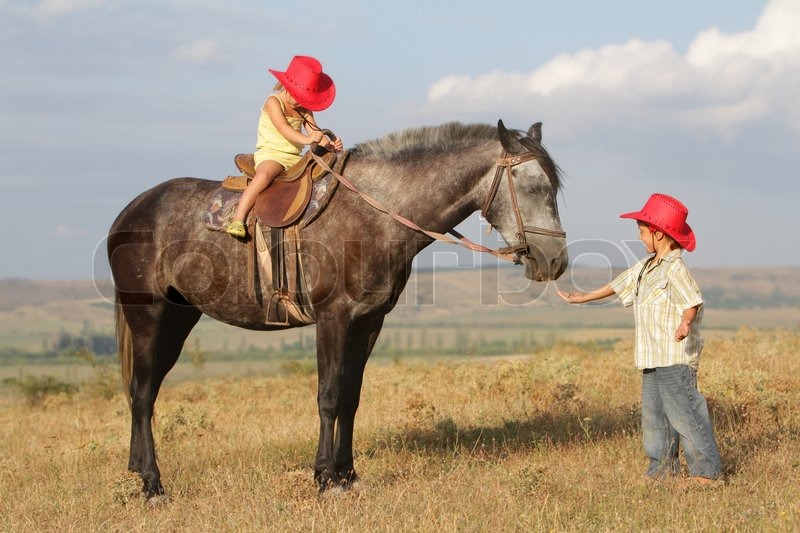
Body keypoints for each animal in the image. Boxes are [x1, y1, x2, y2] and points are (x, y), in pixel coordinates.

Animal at [108, 120, 568, 500]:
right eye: (532, 188)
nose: (556, 261)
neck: (374, 213)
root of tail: (128, 213)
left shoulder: (368, 322)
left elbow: (351, 397)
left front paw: (348, 475)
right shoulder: (333, 318)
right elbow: (328, 396)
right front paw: (326, 479)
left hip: (178, 320)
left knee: (142, 392)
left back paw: (136, 469)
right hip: (149, 318)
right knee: (143, 394)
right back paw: (152, 485)